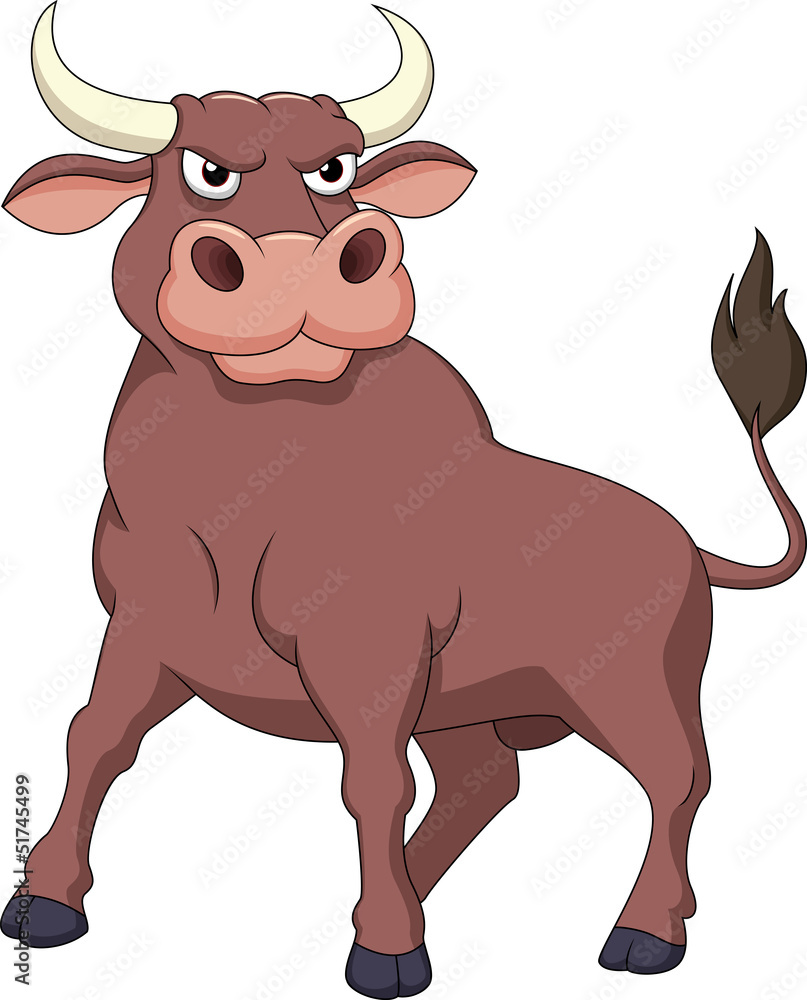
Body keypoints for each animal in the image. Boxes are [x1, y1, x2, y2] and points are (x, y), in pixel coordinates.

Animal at [2, 3, 806, 997]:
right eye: (205, 170)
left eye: (337, 170)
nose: (310, 267)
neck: (244, 496)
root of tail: (688, 544)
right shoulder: (144, 629)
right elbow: (94, 739)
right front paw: (44, 903)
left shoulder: (368, 653)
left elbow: (373, 781)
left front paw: (388, 951)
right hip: (473, 705)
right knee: (486, 780)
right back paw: (411, 888)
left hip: (630, 688)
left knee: (674, 780)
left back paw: (642, 933)